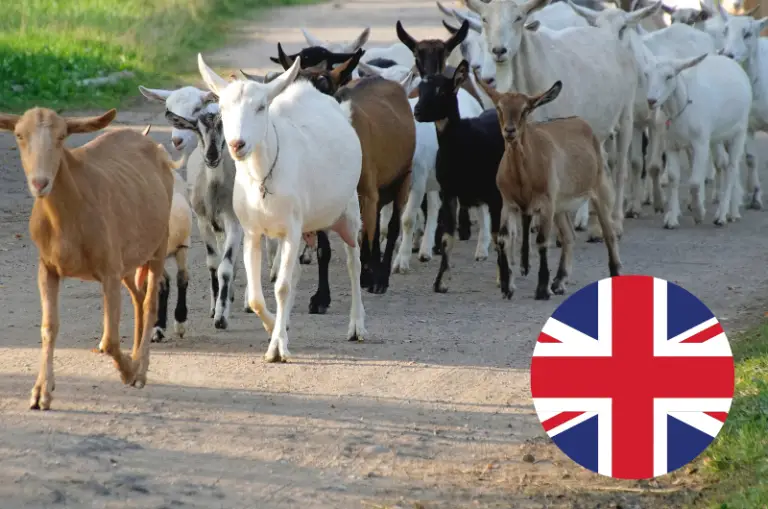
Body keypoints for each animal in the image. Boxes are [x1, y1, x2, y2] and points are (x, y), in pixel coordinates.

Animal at [0, 108, 174, 408]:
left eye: (61, 137)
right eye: (19, 135)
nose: (40, 183)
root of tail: (153, 144)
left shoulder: (109, 270)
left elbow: (110, 340)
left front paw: (128, 371)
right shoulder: (48, 268)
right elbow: (49, 327)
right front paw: (41, 392)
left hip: (158, 244)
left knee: (150, 301)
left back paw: (140, 370)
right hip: (129, 258)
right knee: (138, 297)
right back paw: (136, 356)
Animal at [197, 54, 367, 362]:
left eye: (261, 107)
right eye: (223, 108)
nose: (237, 144)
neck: (263, 178)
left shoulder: (290, 230)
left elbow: (283, 287)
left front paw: (278, 348)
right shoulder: (253, 232)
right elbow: (257, 295)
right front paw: (274, 327)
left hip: (349, 210)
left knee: (354, 261)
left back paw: (357, 326)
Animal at [476, 76, 621, 299]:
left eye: (525, 109)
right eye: (499, 107)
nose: (510, 131)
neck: (523, 177)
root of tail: (582, 123)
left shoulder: (545, 203)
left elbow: (542, 240)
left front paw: (542, 289)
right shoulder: (508, 203)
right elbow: (502, 238)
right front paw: (507, 287)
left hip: (600, 191)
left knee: (609, 234)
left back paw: (614, 273)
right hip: (560, 205)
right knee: (569, 236)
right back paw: (560, 282)